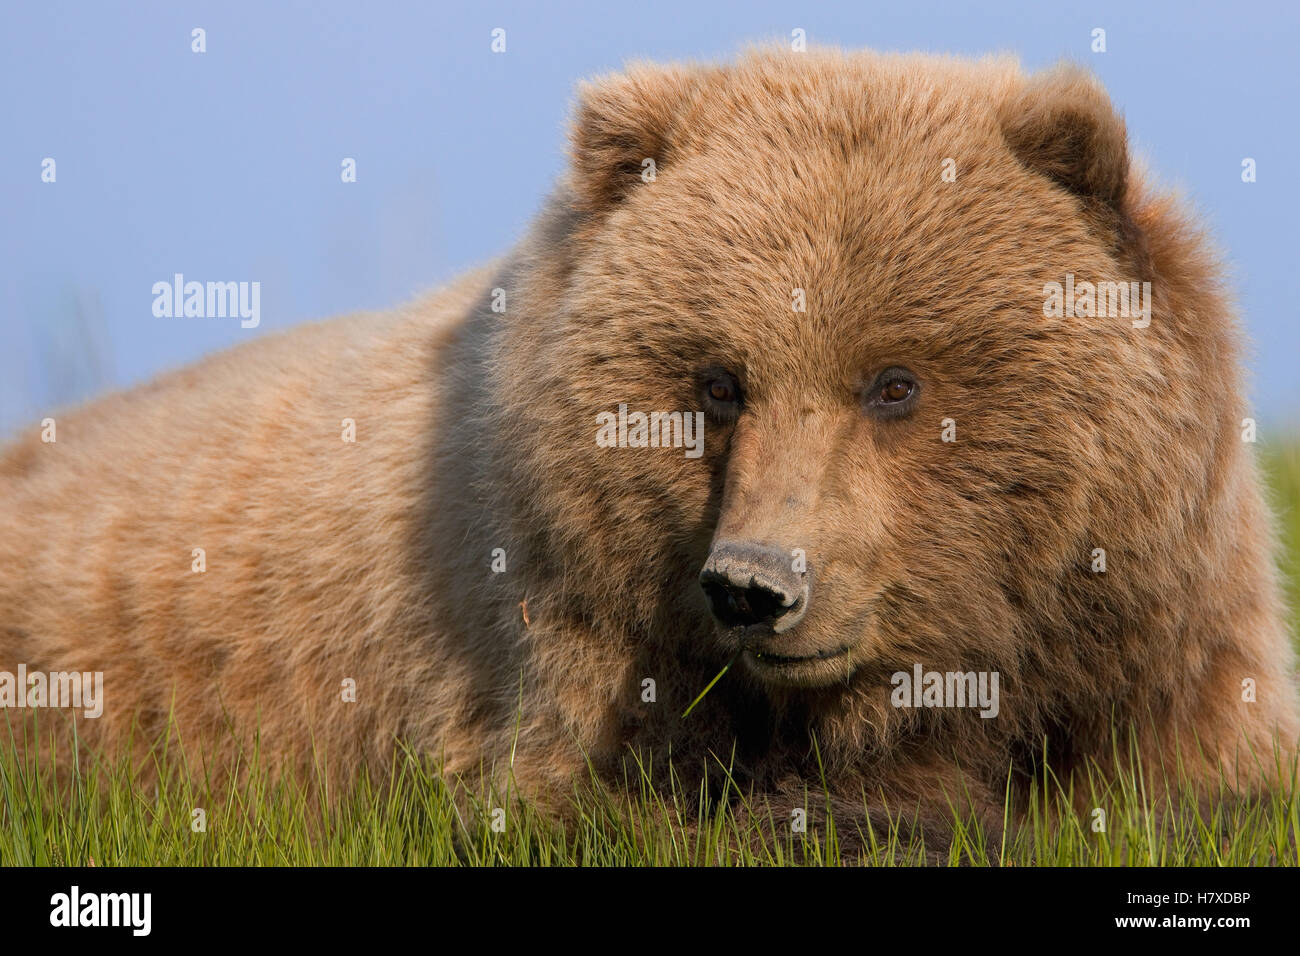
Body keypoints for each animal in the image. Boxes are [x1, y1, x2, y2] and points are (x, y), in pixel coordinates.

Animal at [1, 48, 1297, 850]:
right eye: (719, 381)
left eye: (893, 381)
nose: (757, 584)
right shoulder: (558, 636)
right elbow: (593, 799)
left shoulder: (1155, 641)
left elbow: (1206, 786)